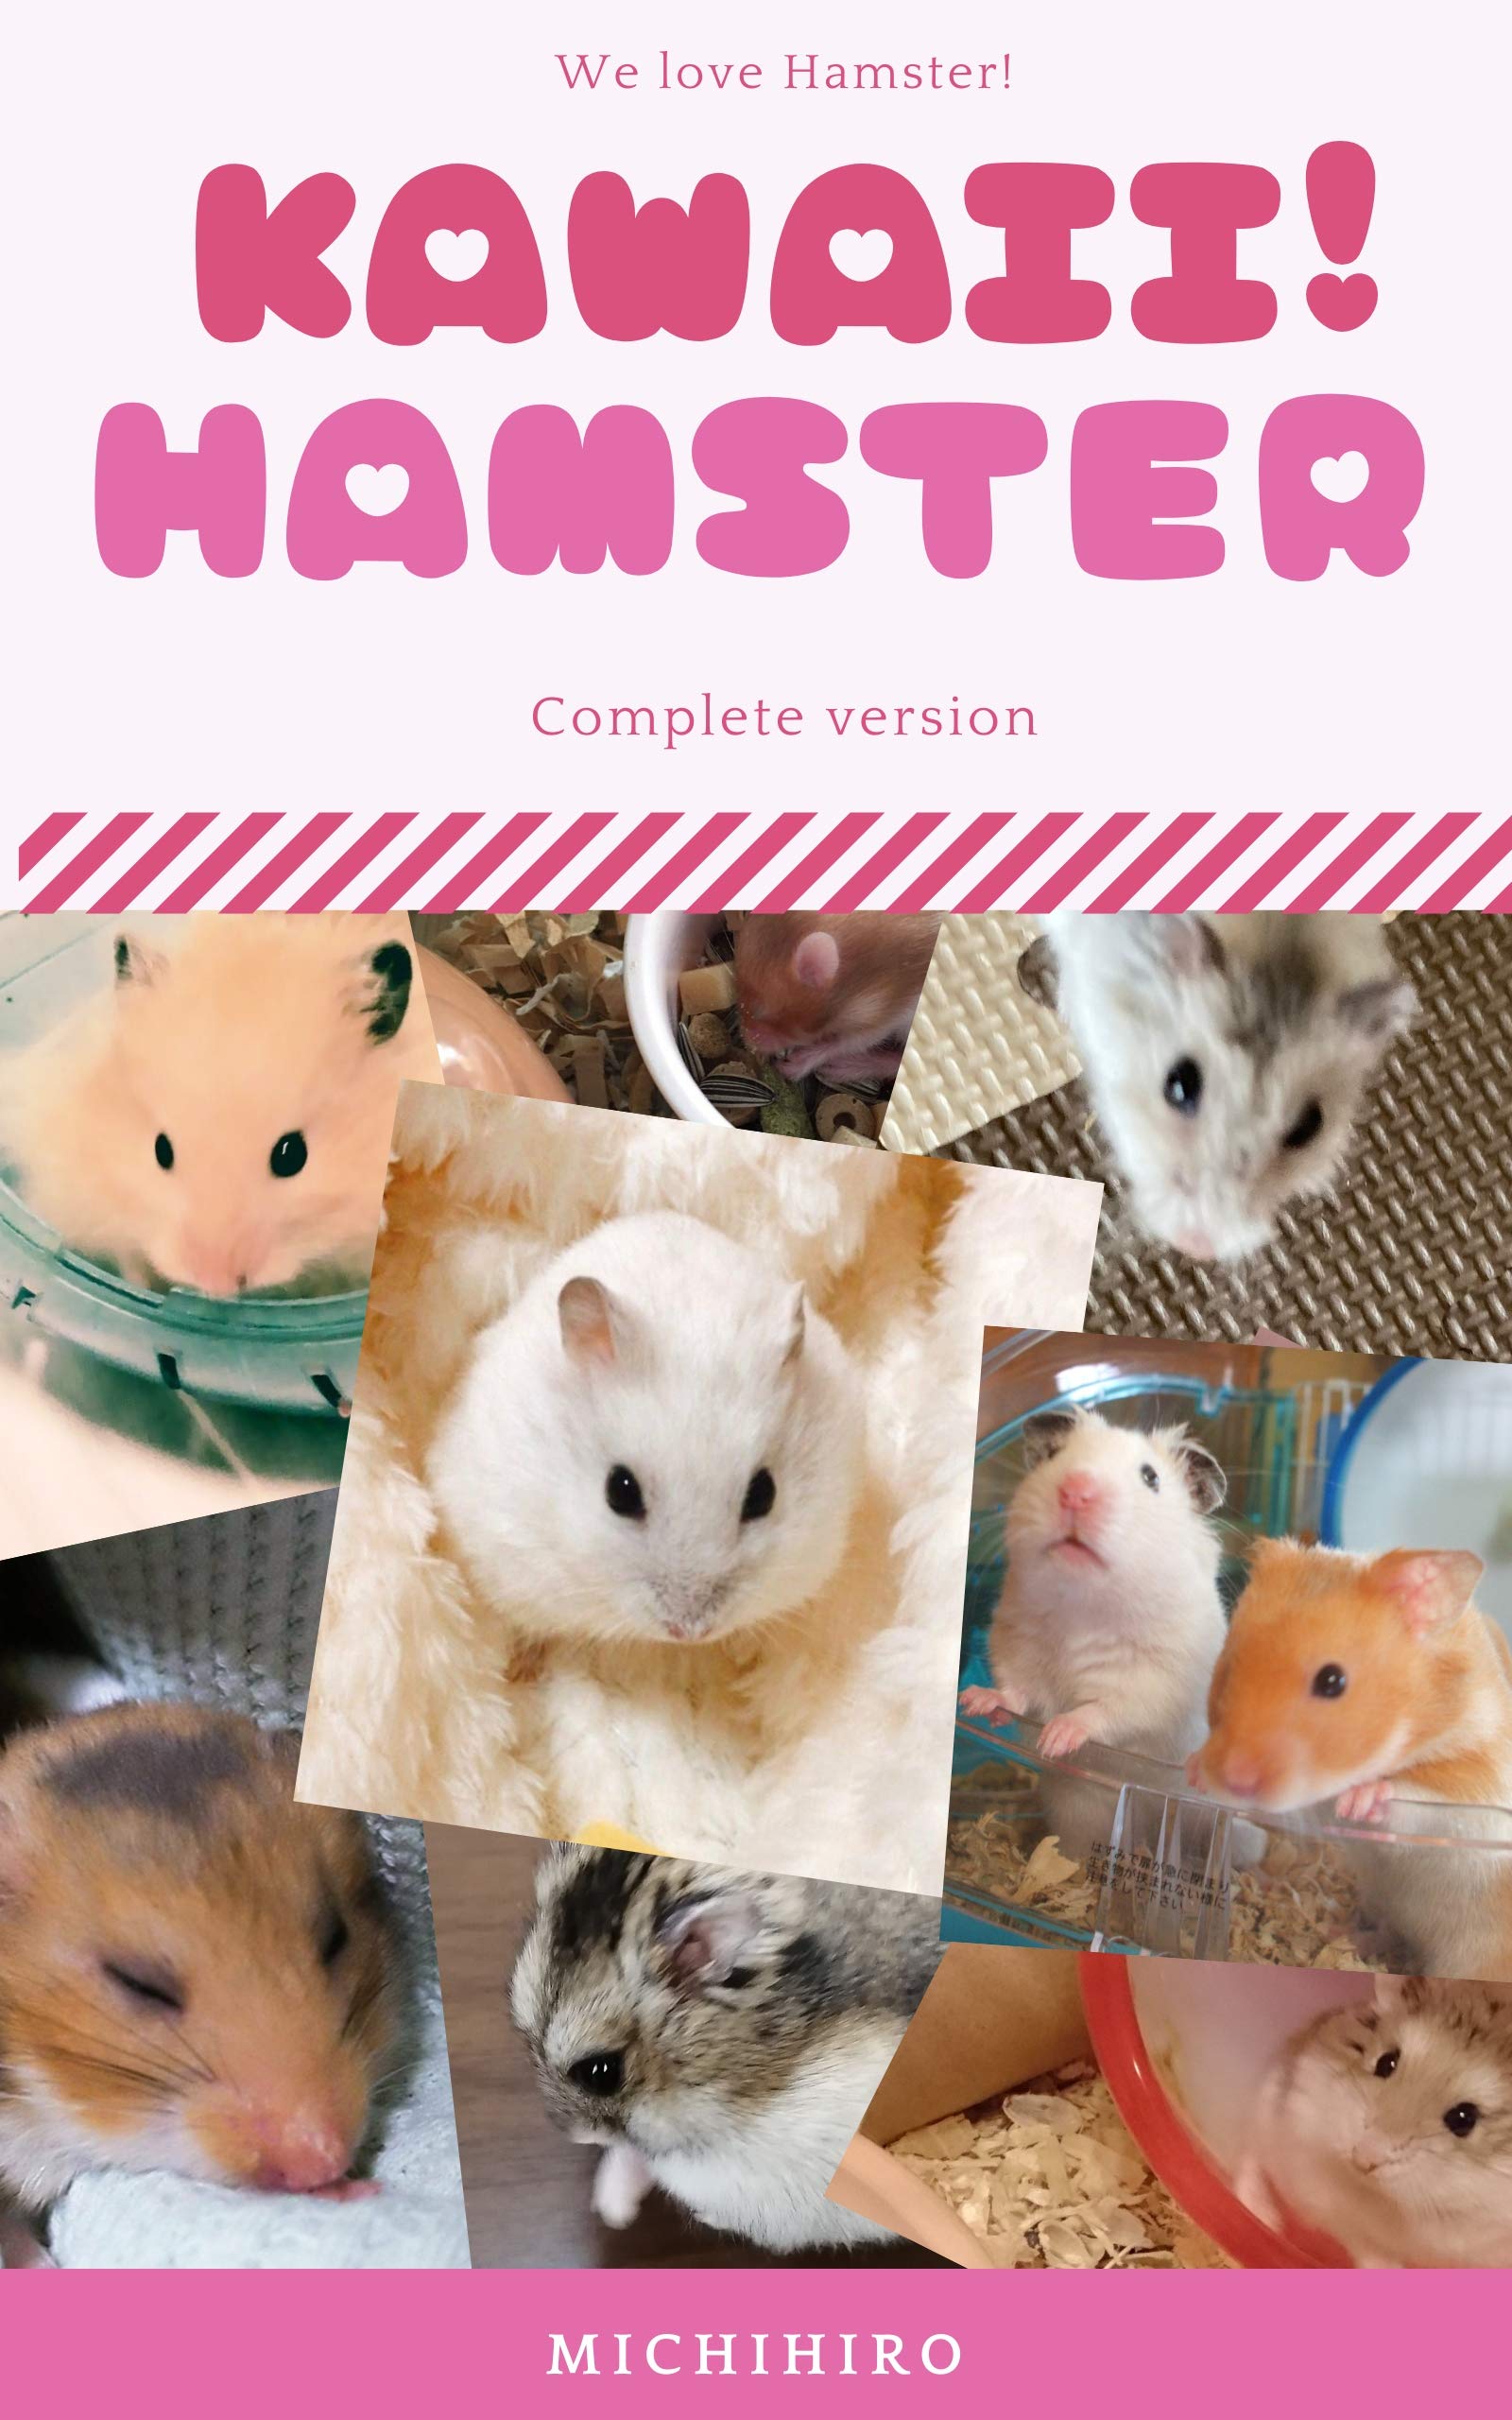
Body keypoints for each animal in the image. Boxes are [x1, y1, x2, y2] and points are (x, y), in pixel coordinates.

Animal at [959, 1406, 1228, 1767]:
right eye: (1055, 1455)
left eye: (1151, 1477)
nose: (1075, 1492)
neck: (1082, 1605)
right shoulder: (1017, 1642)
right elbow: (1016, 1689)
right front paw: (973, 1701)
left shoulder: (1155, 1684)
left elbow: (1104, 1711)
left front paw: (1053, 1740)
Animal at [1238, 1976, 1512, 2267]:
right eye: (1385, 2062)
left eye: (1464, 2118)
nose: (1363, 2160)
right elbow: (1365, 2244)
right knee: (1252, 2158)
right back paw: (1263, 2215)